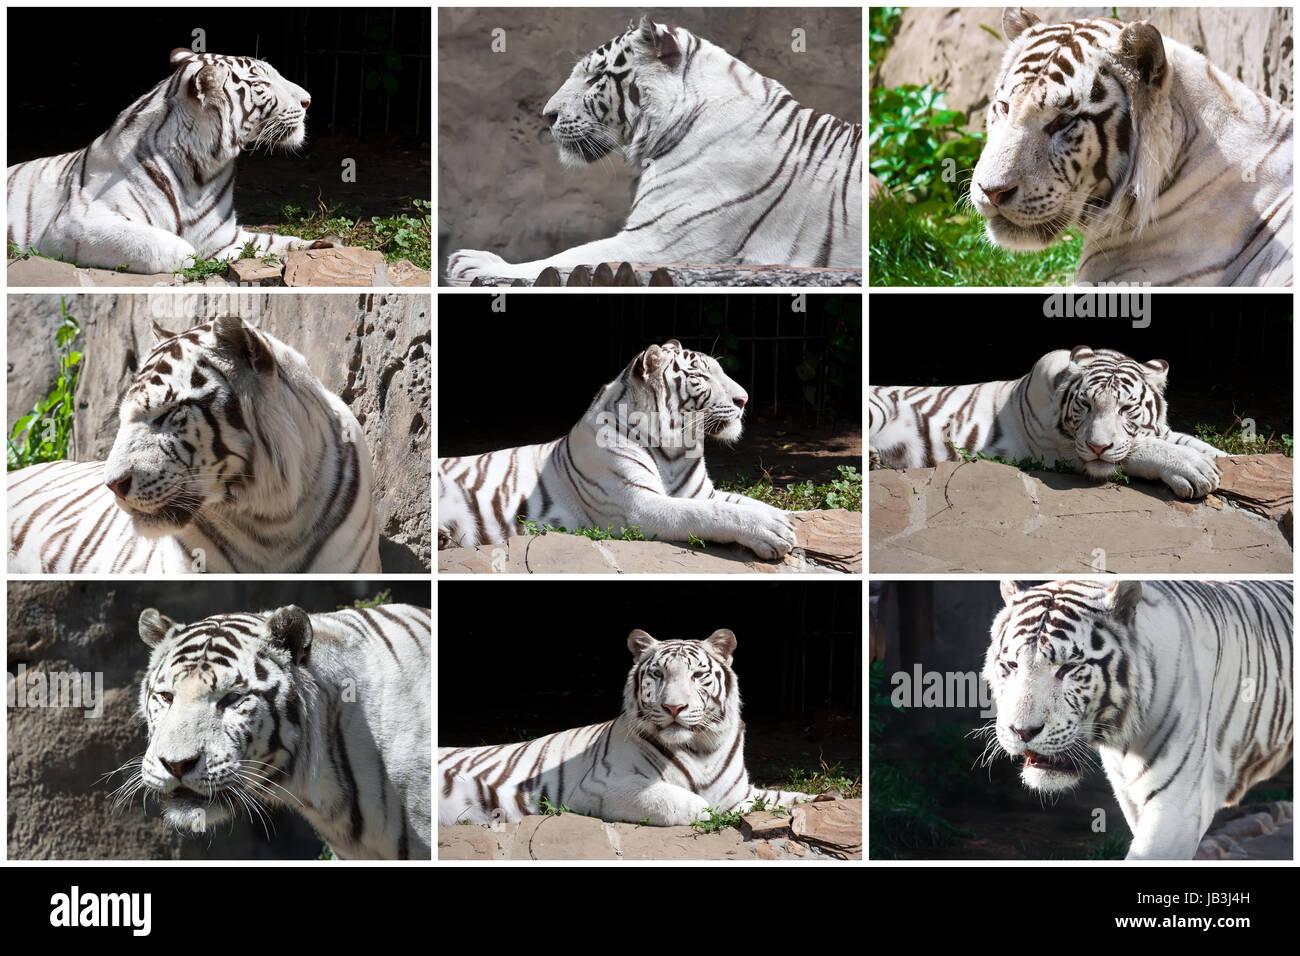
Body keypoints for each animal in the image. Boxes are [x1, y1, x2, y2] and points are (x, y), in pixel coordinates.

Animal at [7, 49, 331, 275]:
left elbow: (275, 243)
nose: (308, 100)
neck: (203, 172)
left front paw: (322, 246)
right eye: (262, 82)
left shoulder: (224, 238)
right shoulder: (75, 223)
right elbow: (171, 248)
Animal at [437, 339, 797, 559]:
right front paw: (773, 530)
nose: (744, 398)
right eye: (701, 377)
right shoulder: (639, 506)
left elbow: (742, 502)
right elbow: (711, 513)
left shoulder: (701, 492)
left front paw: (784, 520)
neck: (674, 452)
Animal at [439, 629, 810, 826]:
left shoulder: (741, 791)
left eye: (696, 675)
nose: (674, 707)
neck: (701, 747)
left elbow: (784, 797)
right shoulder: (603, 787)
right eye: (658, 674)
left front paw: (815, 800)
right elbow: (694, 805)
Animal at [868, 345, 1226, 498]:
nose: (1098, 445)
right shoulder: (1063, 452)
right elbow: (1137, 450)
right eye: (1085, 404)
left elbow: (1189, 441)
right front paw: (1194, 470)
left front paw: (1222, 458)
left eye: (1126, 409)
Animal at [982, 580, 1293, 859]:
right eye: (1011, 665)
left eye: (1069, 667)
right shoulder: (1130, 796)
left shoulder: (1180, 803)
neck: (1122, 735)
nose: (1022, 731)